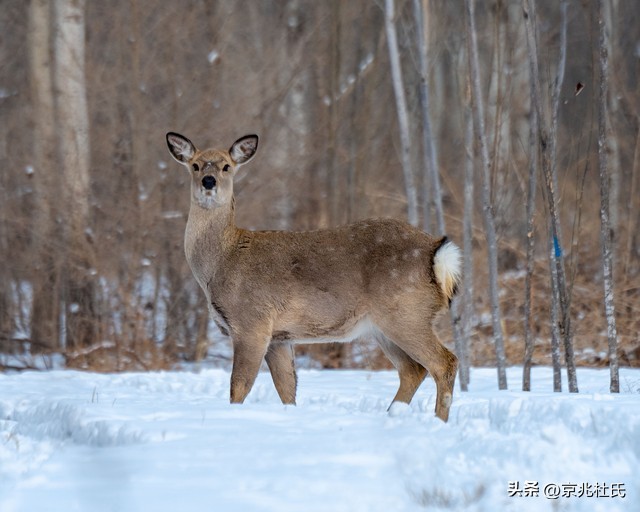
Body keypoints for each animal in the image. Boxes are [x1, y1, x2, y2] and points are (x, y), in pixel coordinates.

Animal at [166, 132, 462, 422]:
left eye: (226, 166)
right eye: (195, 165)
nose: (209, 181)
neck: (221, 262)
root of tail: (436, 253)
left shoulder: (251, 321)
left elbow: (239, 387)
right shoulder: (279, 337)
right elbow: (287, 390)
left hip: (405, 312)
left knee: (444, 362)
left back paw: (437, 421)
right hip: (383, 325)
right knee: (413, 370)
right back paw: (393, 415)